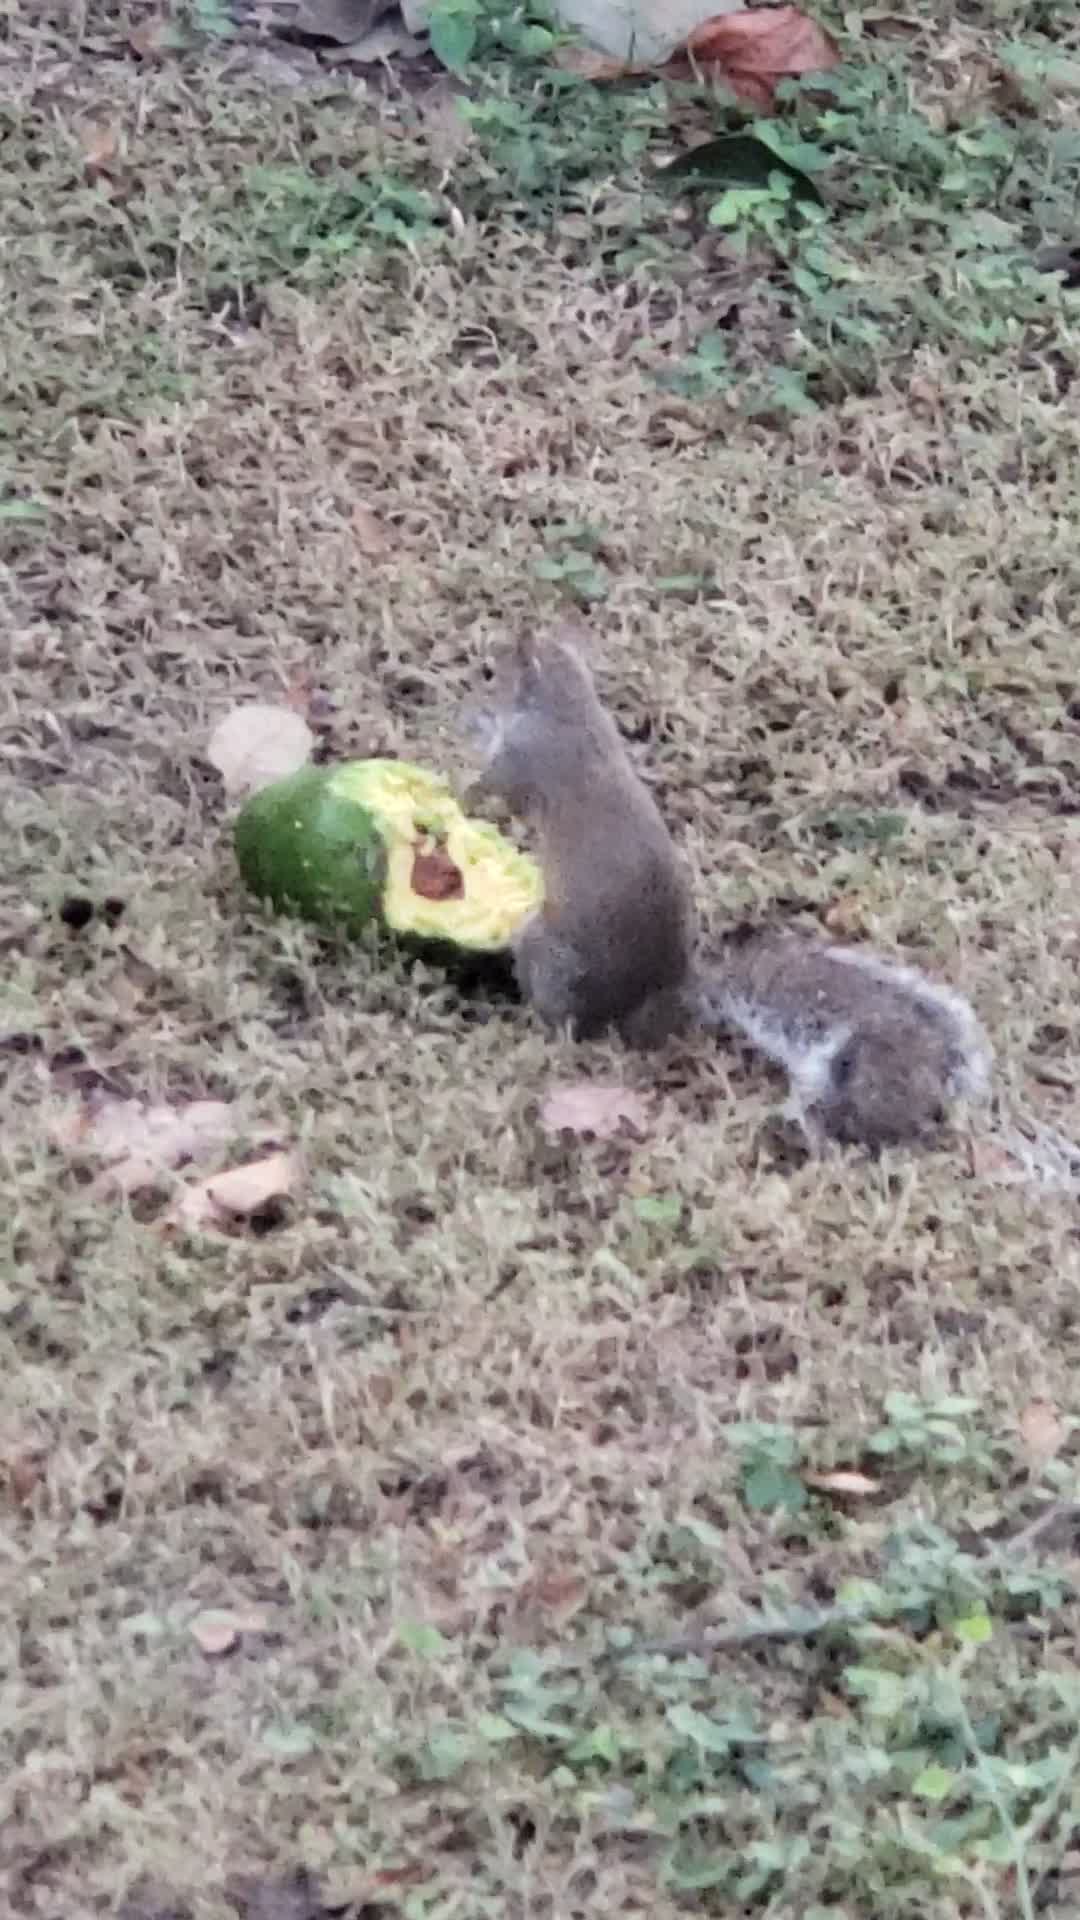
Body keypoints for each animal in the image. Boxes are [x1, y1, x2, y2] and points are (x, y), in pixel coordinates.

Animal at [466, 622, 991, 1148]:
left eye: (490, 671)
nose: (464, 703)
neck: (566, 703)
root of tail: (662, 998)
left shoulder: (524, 757)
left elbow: (500, 787)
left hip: (547, 954)